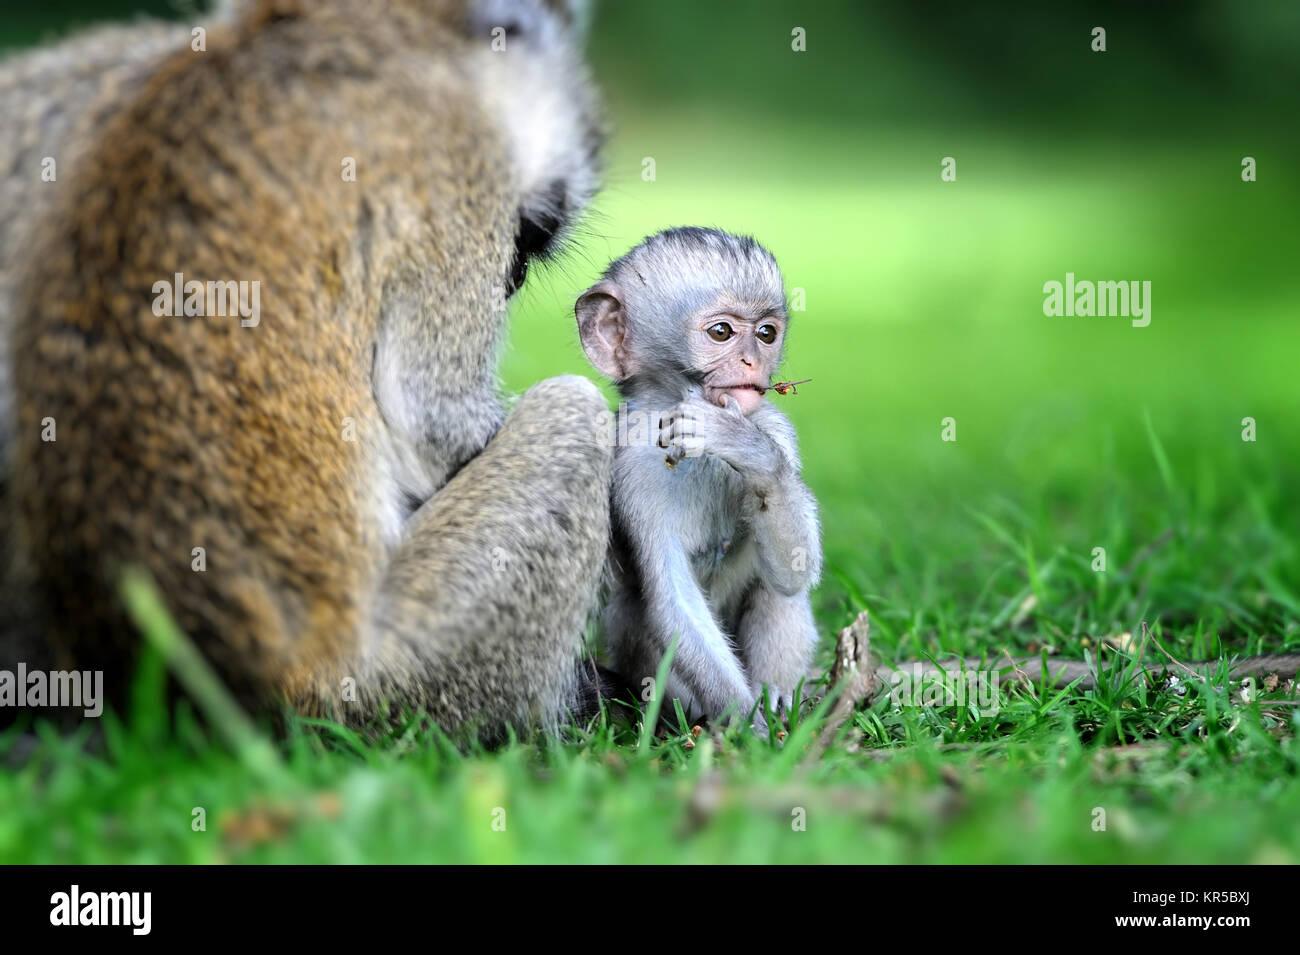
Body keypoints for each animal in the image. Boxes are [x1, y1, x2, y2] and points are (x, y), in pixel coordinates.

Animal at [1, 0, 614, 740]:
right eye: (525, 236)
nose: (512, 274)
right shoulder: (459, 160)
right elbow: (434, 425)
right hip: (390, 685)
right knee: (575, 409)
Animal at [575, 227, 823, 731]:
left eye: (766, 333)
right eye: (722, 332)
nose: (753, 363)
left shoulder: (776, 428)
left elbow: (794, 572)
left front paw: (742, 446)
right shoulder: (629, 469)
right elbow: (673, 600)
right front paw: (749, 727)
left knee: (778, 591)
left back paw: (779, 699)